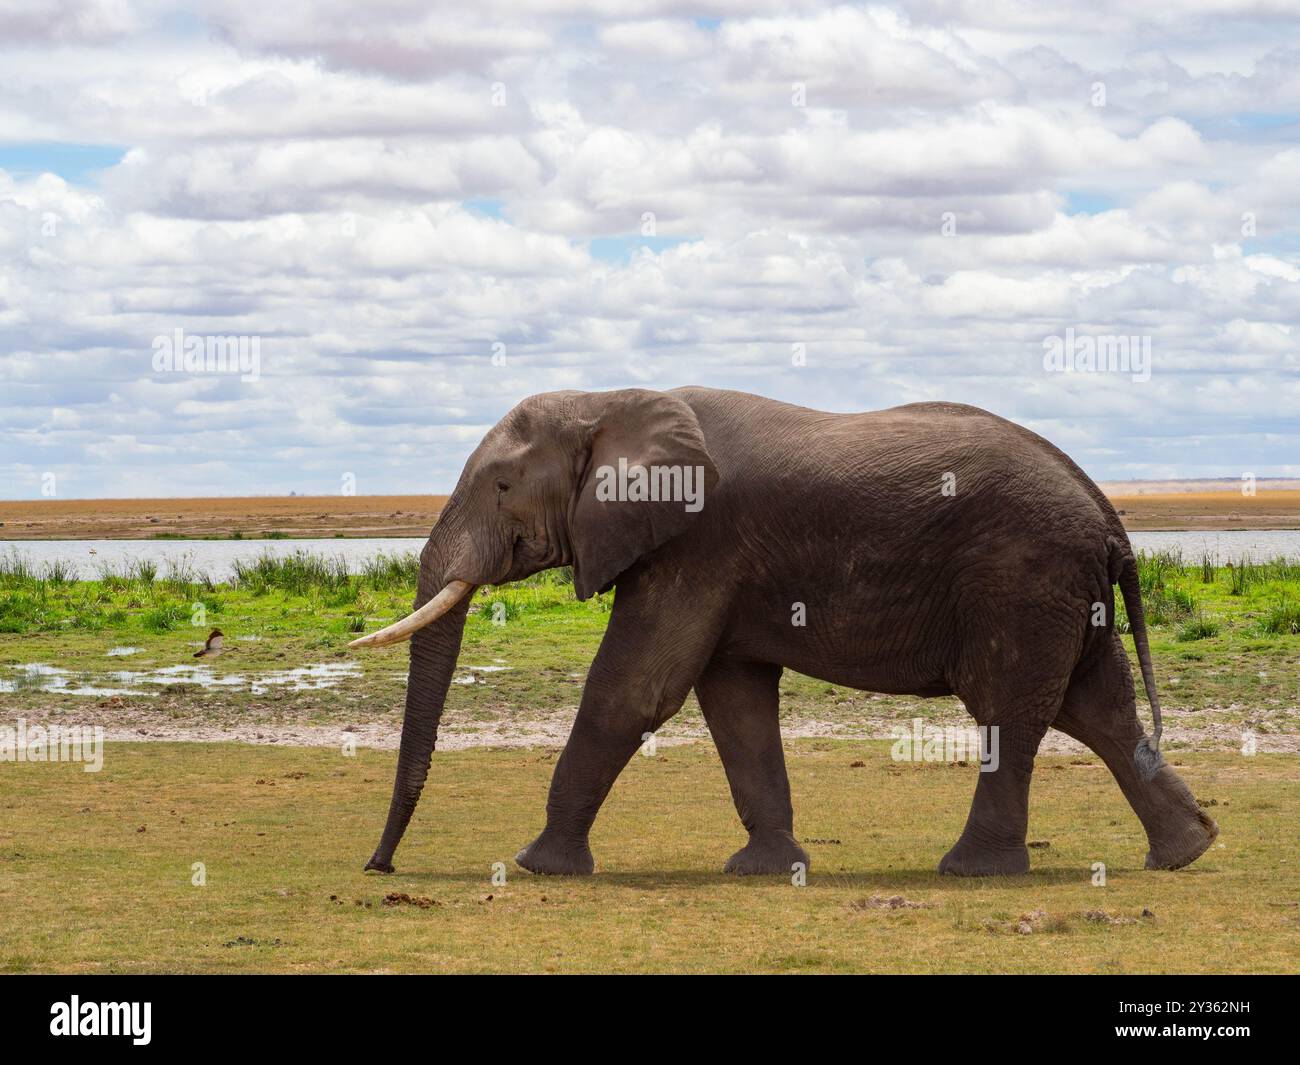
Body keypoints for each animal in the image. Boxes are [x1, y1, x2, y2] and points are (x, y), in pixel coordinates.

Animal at [351, 387, 1219, 877]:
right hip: (1065, 591)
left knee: (1013, 709)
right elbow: (734, 702)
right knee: (1098, 709)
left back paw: (972, 872)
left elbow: (633, 691)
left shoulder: (696, 542)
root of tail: (1110, 515)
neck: (610, 397)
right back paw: (1186, 852)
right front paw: (765, 869)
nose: (378, 865)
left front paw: (539, 868)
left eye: (501, 486)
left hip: (1025, 579)